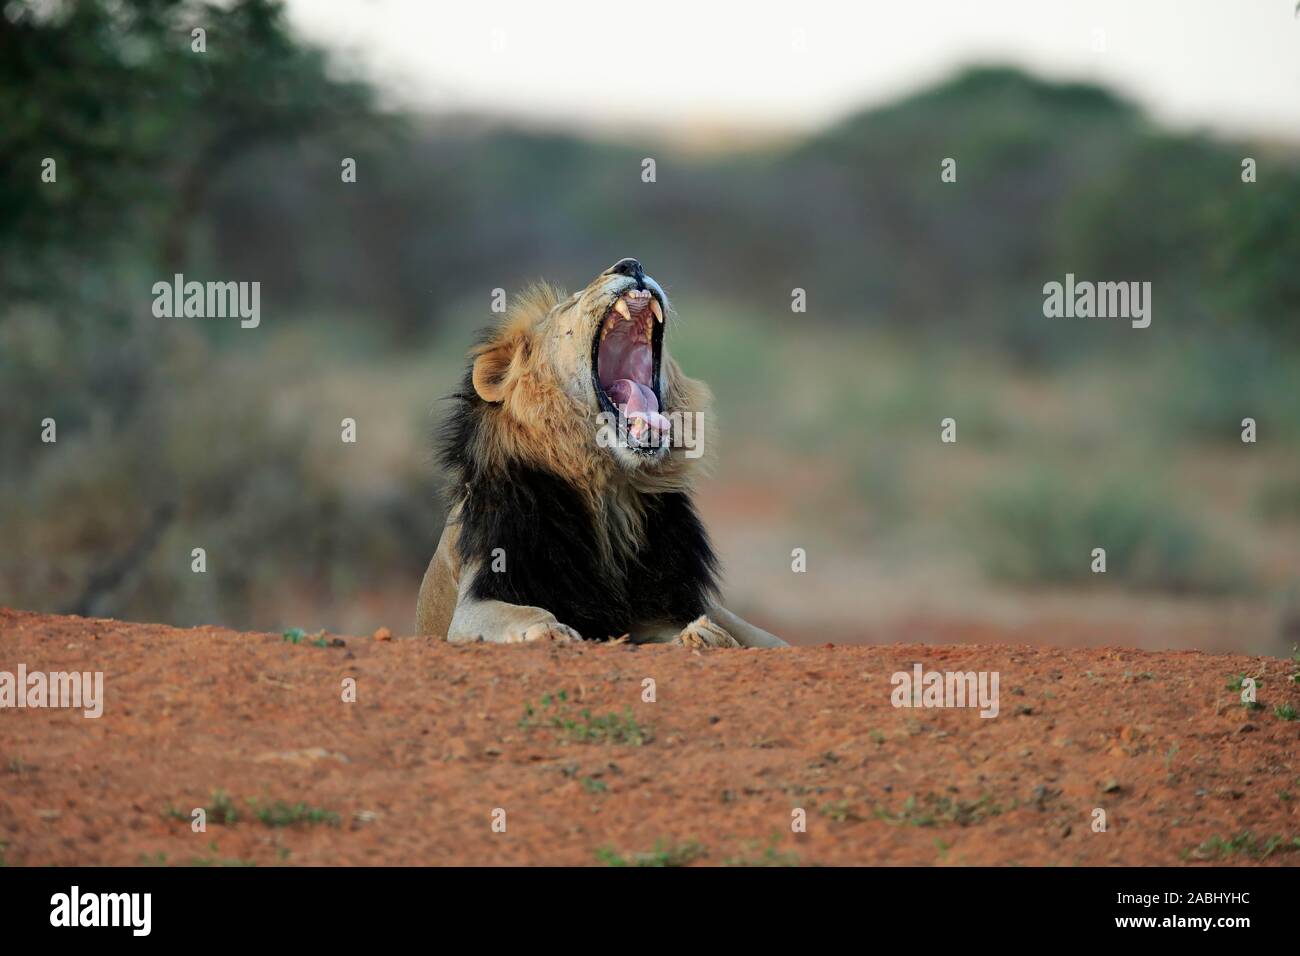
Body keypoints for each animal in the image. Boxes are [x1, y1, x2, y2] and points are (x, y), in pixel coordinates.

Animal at [416, 257, 787, 648]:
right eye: (568, 306)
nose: (631, 264)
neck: (609, 488)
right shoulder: (478, 595)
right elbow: (522, 613)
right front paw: (551, 631)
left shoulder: (667, 605)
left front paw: (705, 636)